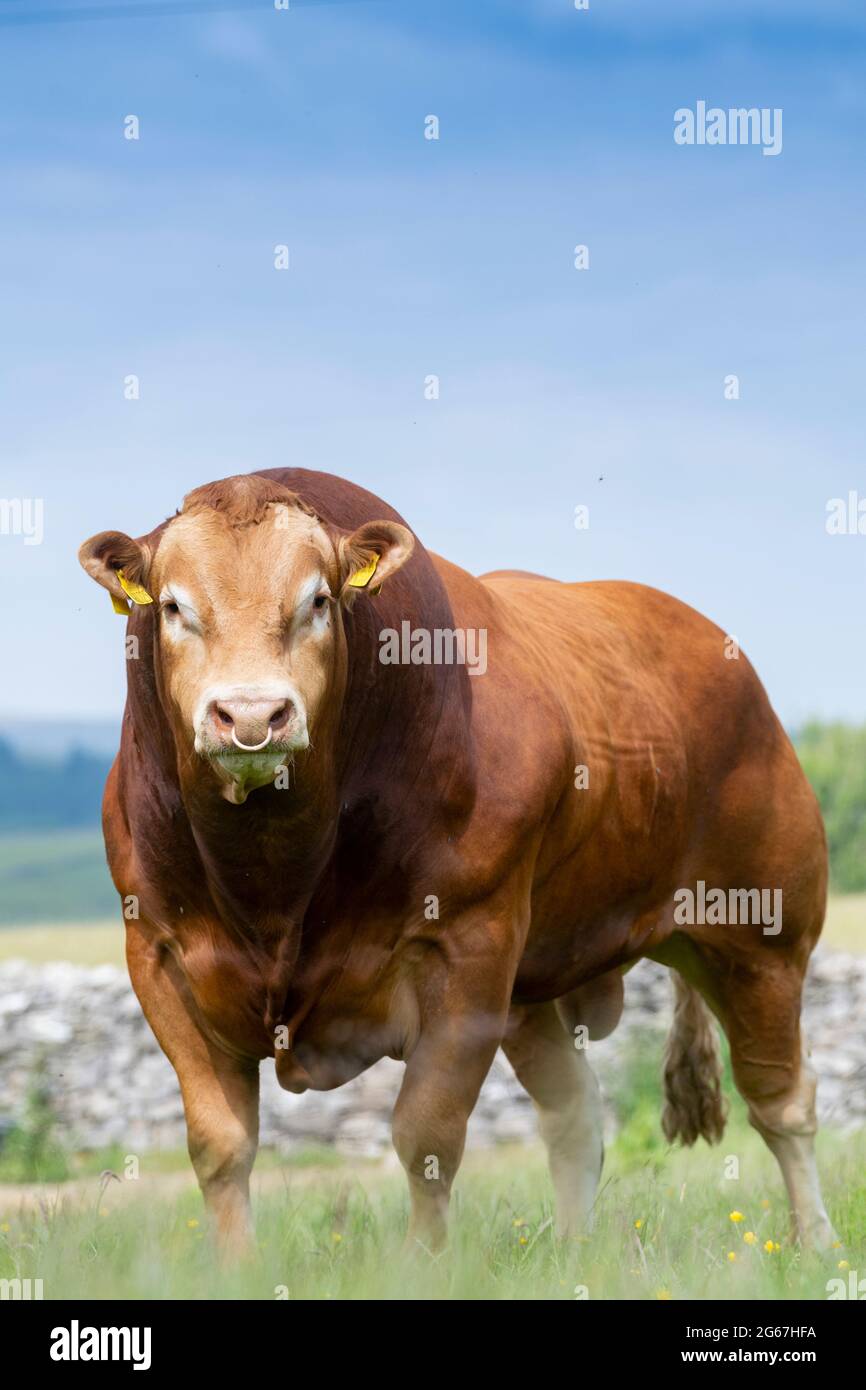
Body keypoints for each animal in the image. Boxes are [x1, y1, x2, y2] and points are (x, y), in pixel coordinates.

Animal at [78, 468, 837, 1255]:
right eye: (173, 606)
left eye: (317, 600)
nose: (253, 717)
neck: (274, 886)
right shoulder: (160, 956)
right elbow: (221, 1144)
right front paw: (238, 1268)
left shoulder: (469, 950)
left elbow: (427, 1135)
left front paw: (422, 1264)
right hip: (535, 985)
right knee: (576, 1110)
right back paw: (574, 1249)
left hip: (761, 939)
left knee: (783, 1099)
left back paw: (815, 1242)